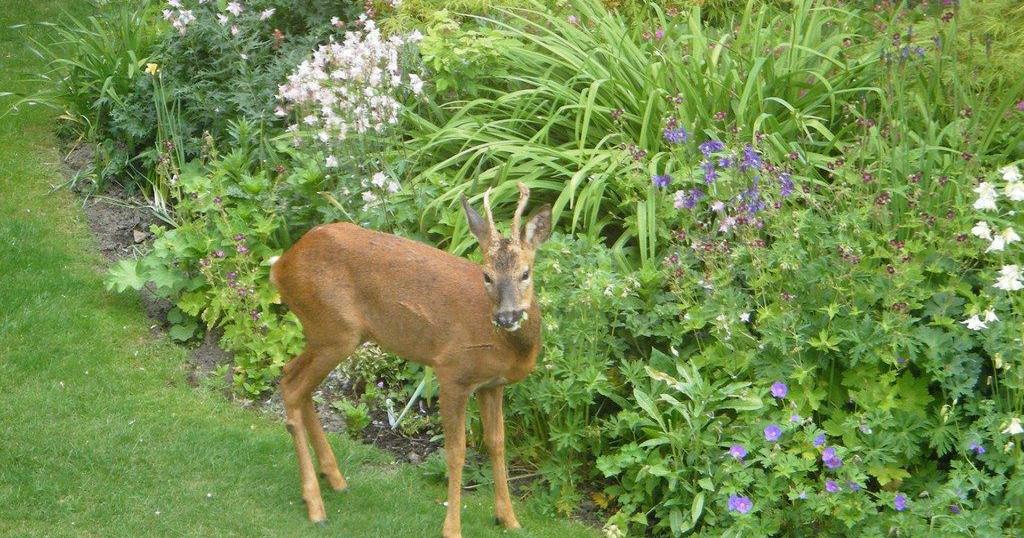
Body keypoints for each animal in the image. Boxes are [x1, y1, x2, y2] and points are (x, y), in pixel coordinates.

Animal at [269, 182, 552, 538]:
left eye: (525, 273)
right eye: (487, 275)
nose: (507, 315)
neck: (503, 346)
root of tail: (280, 266)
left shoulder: (492, 384)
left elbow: (497, 444)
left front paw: (509, 519)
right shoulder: (452, 372)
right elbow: (456, 453)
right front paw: (452, 529)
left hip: (327, 334)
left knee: (294, 378)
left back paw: (335, 479)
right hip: (333, 330)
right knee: (292, 387)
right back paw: (316, 506)